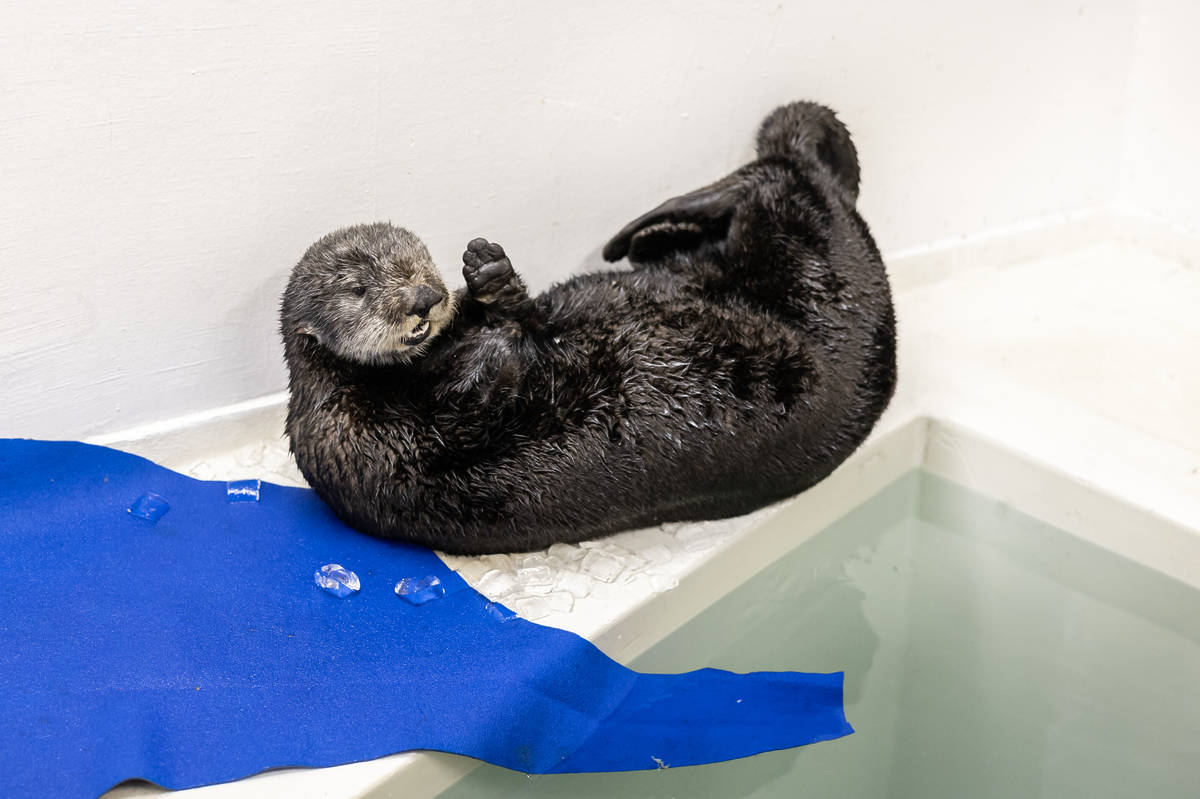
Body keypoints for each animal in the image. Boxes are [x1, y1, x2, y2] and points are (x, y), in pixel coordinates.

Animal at [281, 101, 896, 555]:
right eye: (359, 290)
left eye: (419, 263)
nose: (426, 298)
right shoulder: (360, 442)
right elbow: (465, 414)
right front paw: (496, 339)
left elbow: (512, 318)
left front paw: (489, 275)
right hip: (810, 255)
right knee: (776, 182)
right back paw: (644, 229)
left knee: (775, 178)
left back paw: (639, 235)